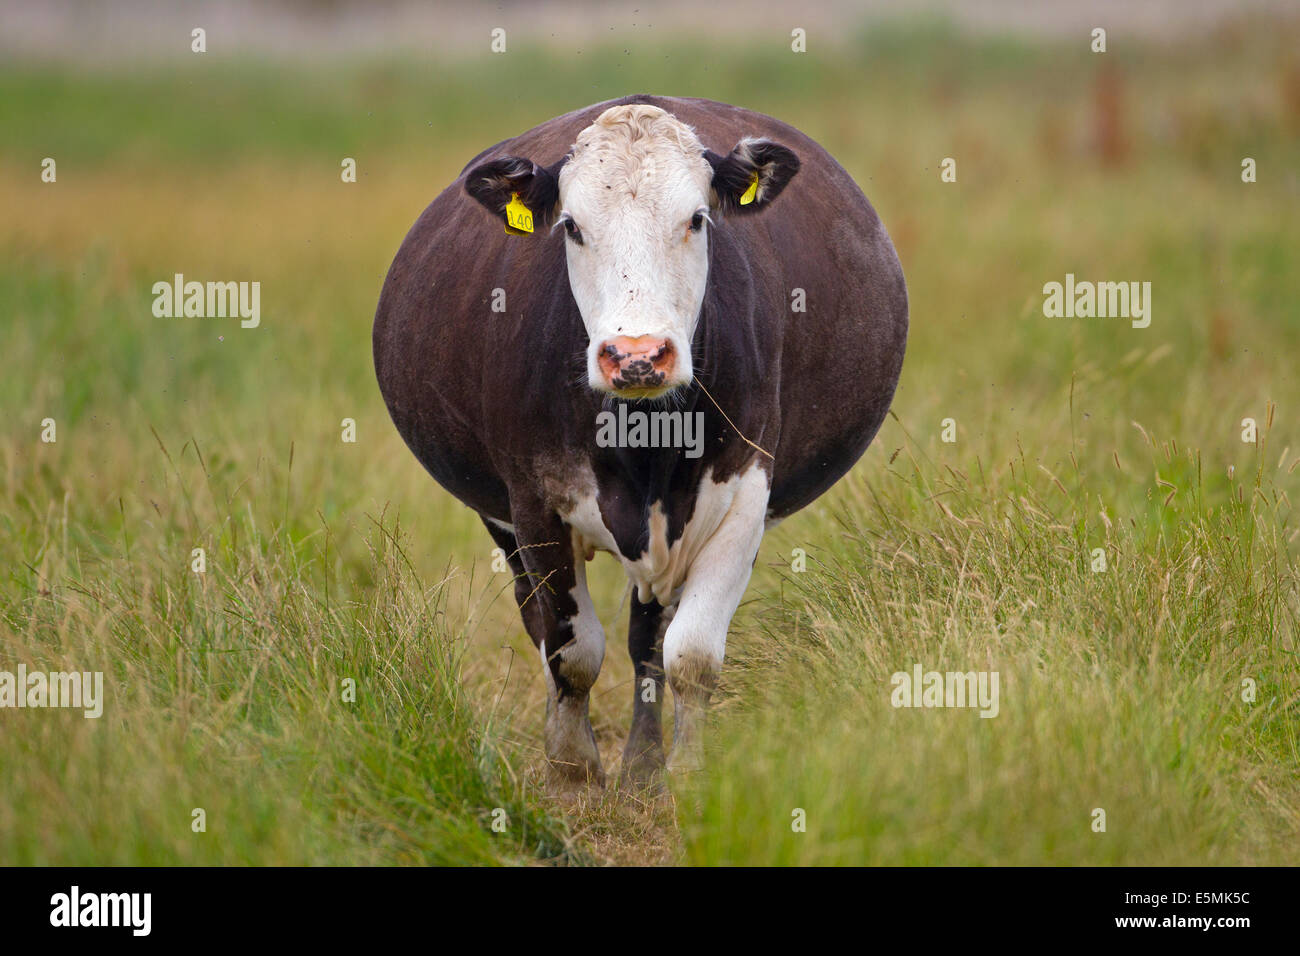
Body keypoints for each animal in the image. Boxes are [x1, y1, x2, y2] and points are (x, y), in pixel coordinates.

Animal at [373, 95, 907, 789]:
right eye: (571, 226)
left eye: (698, 219)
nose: (637, 355)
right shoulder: (532, 502)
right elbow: (571, 651)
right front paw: (571, 770)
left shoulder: (743, 495)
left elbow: (691, 654)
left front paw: (685, 770)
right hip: (500, 517)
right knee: (542, 620)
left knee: (647, 632)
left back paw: (644, 763)